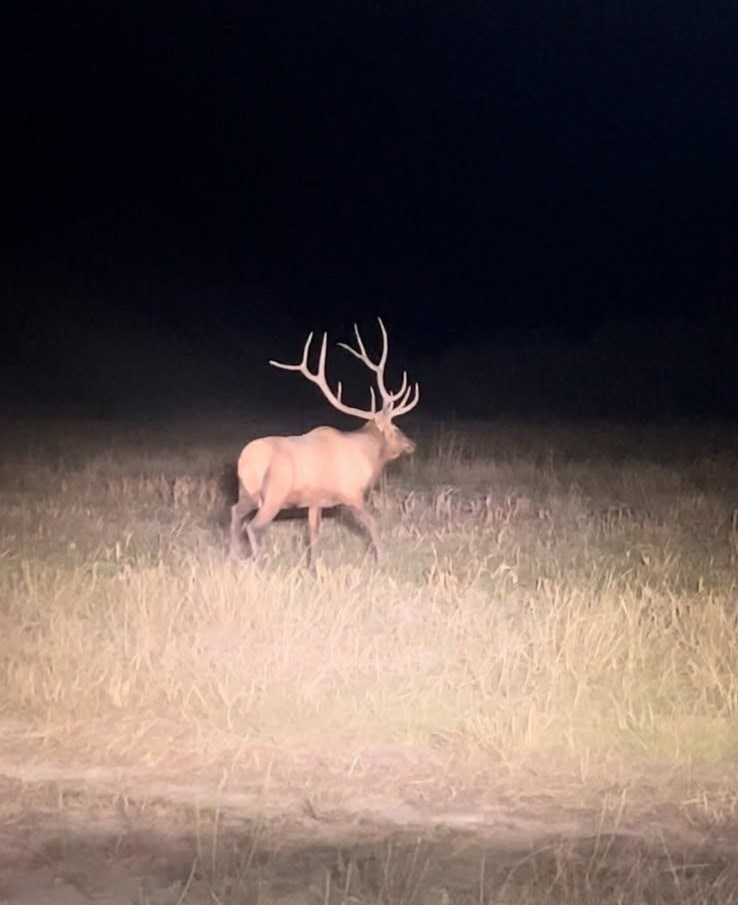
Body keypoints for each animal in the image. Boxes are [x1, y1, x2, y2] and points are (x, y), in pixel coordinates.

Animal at [229, 318, 420, 565]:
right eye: (396, 430)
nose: (411, 445)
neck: (367, 456)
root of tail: (246, 459)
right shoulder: (352, 493)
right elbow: (371, 524)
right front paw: (381, 559)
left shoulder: (315, 501)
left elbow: (312, 536)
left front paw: (313, 566)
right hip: (273, 495)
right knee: (252, 527)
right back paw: (258, 563)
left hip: (247, 492)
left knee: (234, 513)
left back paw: (232, 557)